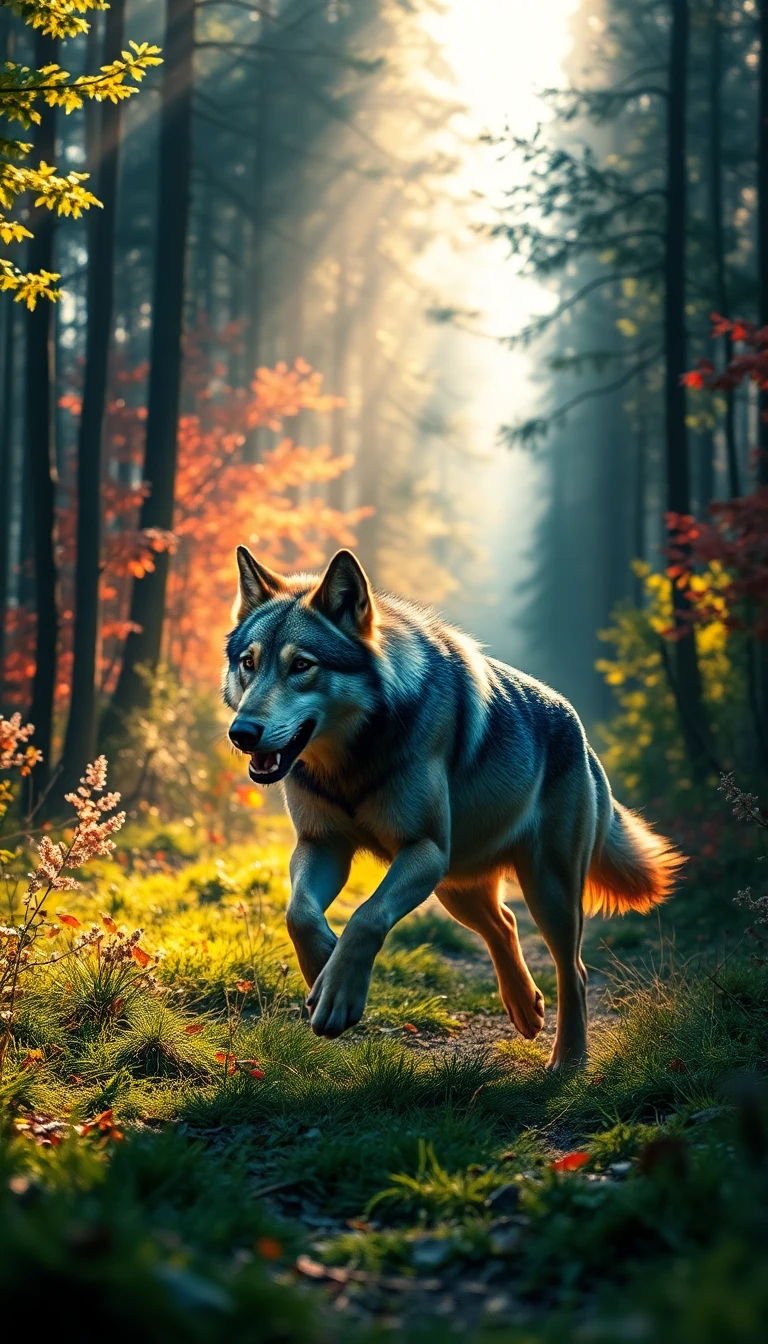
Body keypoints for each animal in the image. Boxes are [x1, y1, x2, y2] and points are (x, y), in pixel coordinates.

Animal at [223, 546, 683, 1069]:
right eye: (248, 663)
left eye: (302, 665)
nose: (242, 732)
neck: (350, 762)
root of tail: (581, 734)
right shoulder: (321, 846)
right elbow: (298, 913)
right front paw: (322, 969)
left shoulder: (422, 849)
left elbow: (365, 916)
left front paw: (337, 993)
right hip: (456, 886)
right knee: (504, 925)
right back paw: (525, 1009)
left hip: (544, 889)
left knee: (575, 970)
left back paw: (567, 1058)